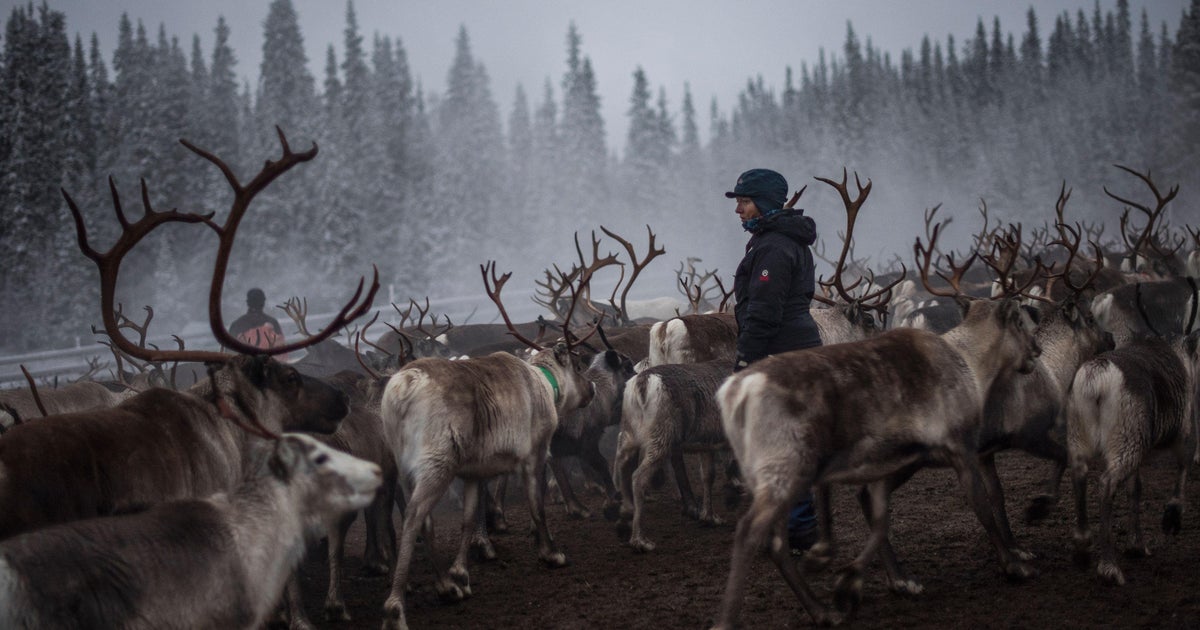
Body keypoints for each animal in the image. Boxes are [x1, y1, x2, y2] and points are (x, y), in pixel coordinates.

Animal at [378, 260, 601, 630]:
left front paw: (461, 574)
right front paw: (551, 552)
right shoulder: (533, 454)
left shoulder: (473, 472)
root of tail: (402, 387)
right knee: (413, 517)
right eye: (580, 364)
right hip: (436, 463)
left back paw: (446, 586)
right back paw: (396, 608)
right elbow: (537, 505)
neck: (546, 384)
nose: (592, 389)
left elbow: (470, 519)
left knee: (426, 521)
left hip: (406, 465)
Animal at [710, 218, 1043, 629]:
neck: (969, 364)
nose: (1037, 351)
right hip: (787, 466)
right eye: (1020, 322)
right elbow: (981, 504)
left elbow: (877, 513)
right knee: (751, 533)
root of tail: (735, 391)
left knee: (774, 539)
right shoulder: (958, 446)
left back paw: (821, 608)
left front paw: (889, 579)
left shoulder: (901, 459)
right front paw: (1013, 563)